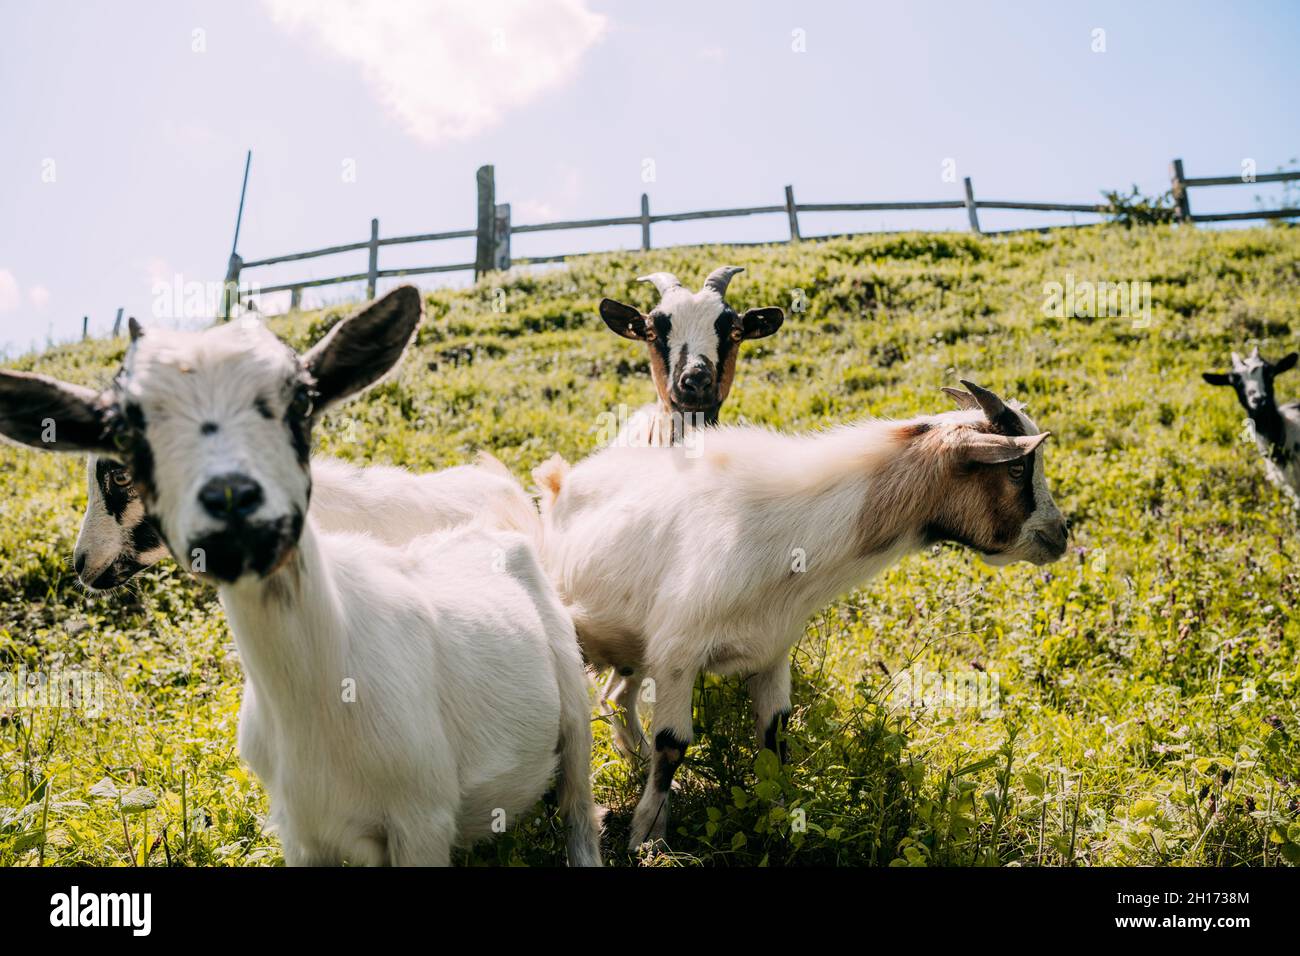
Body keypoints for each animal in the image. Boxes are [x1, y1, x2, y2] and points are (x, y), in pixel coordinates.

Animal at [534, 381, 1068, 849]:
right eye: (1017, 470)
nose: (1060, 535)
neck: (793, 531)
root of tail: (560, 482)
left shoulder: (770, 653)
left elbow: (775, 741)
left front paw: (779, 819)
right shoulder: (678, 656)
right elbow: (674, 745)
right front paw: (648, 837)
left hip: (631, 645)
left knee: (617, 697)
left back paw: (635, 760)